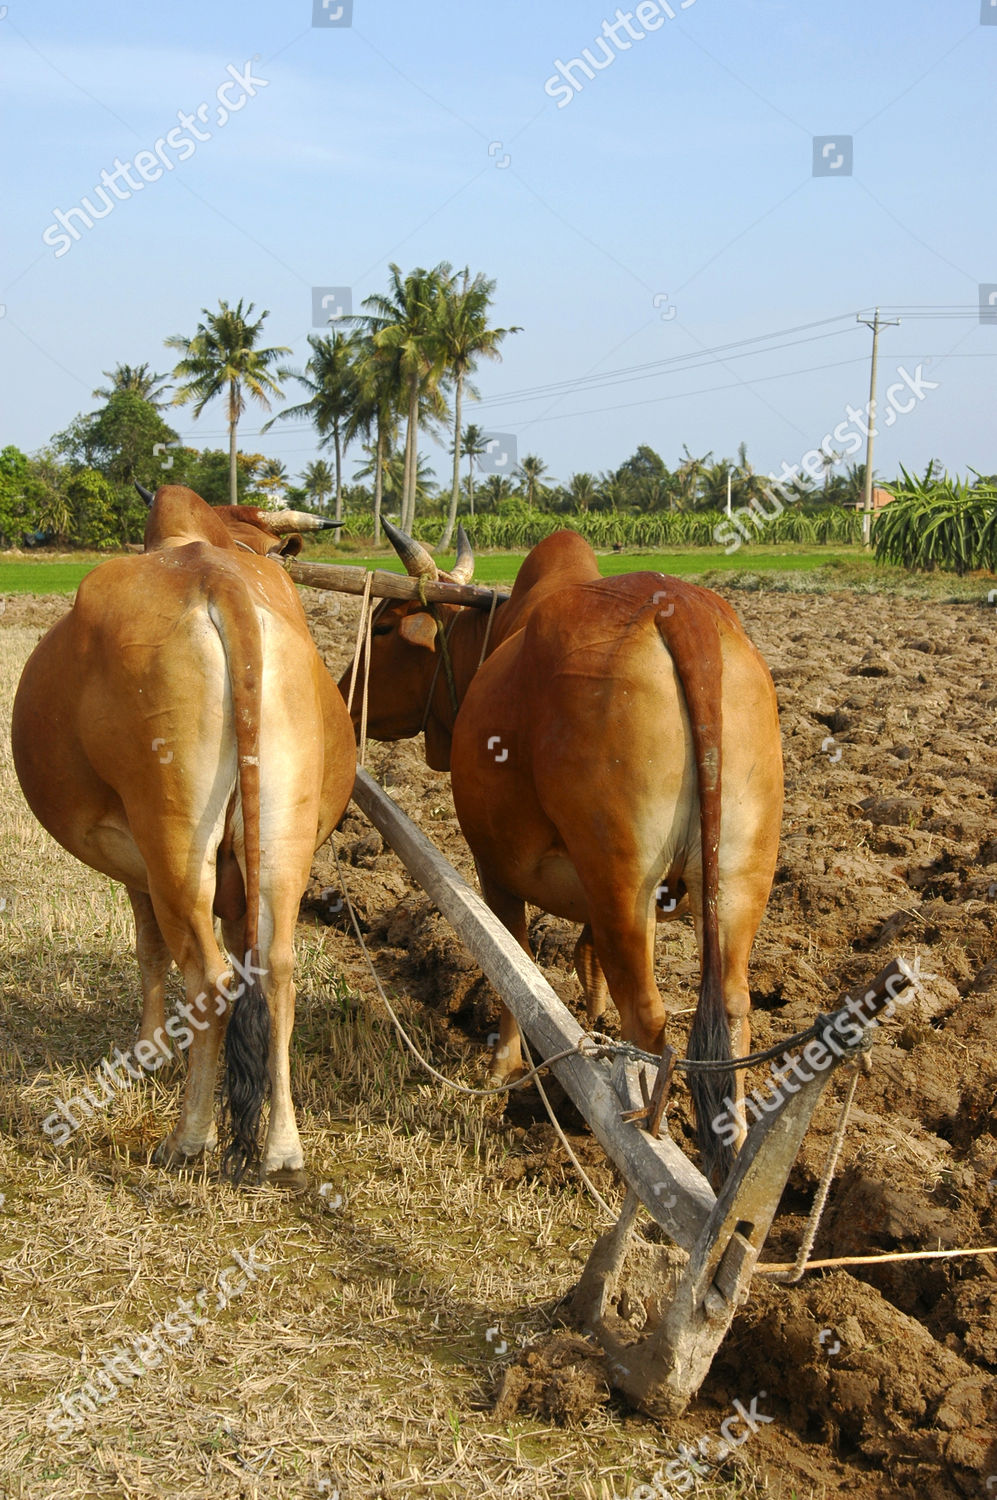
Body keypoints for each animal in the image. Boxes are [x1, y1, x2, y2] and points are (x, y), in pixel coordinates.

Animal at [12, 484, 356, 1187]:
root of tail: (218, 580)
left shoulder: (137, 867)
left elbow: (150, 954)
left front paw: (149, 1055)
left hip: (171, 840)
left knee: (210, 980)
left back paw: (189, 1138)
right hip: (281, 842)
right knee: (276, 970)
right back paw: (282, 1149)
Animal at [340, 522, 783, 1183]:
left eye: (387, 625)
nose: (341, 695)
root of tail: (684, 611)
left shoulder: (495, 866)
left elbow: (515, 965)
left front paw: (502, 1067)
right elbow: (582, 955)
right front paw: (588, 1021)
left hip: (622, 883)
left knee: (650, 1020)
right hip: (735, 884)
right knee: (731, 1015)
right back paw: (726, 1155)